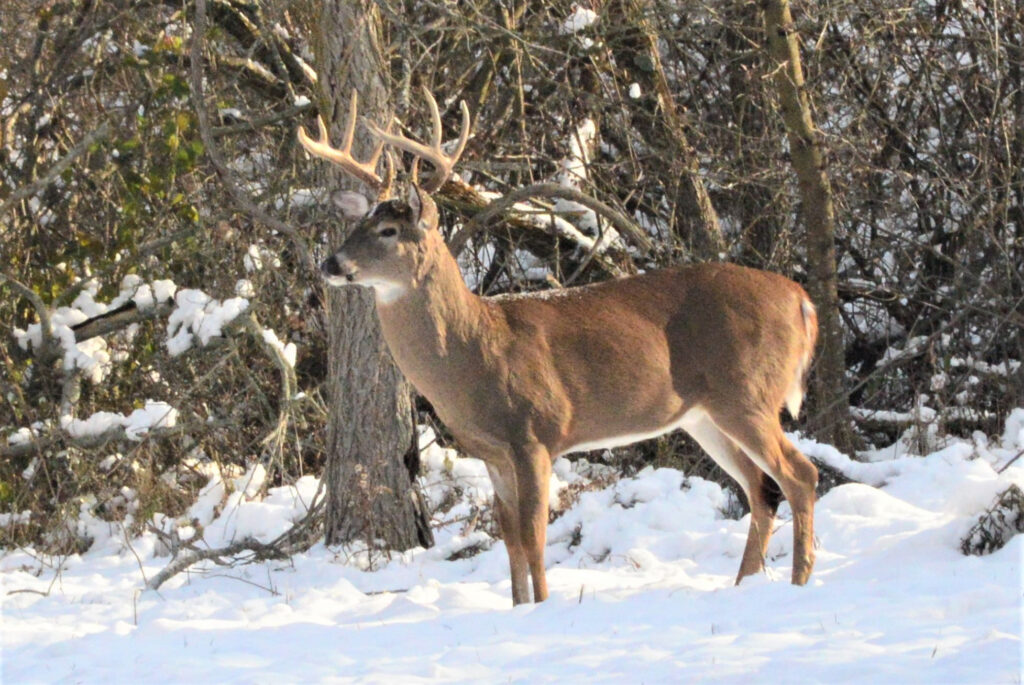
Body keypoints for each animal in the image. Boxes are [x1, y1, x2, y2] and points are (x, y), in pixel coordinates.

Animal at [297, 87, 820, 606]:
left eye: (388, 231)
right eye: (356, 225)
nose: (330, 263)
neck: (472, 352)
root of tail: (801, 299)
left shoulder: (535, 431)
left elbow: (533, 535)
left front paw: (543, 607)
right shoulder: (491, 451)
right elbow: (508, 536)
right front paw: (518, 607)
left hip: (747, 392)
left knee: (799, 475)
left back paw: (799, 582)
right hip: (704, 415)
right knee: (761, 488)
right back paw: (744, 586)